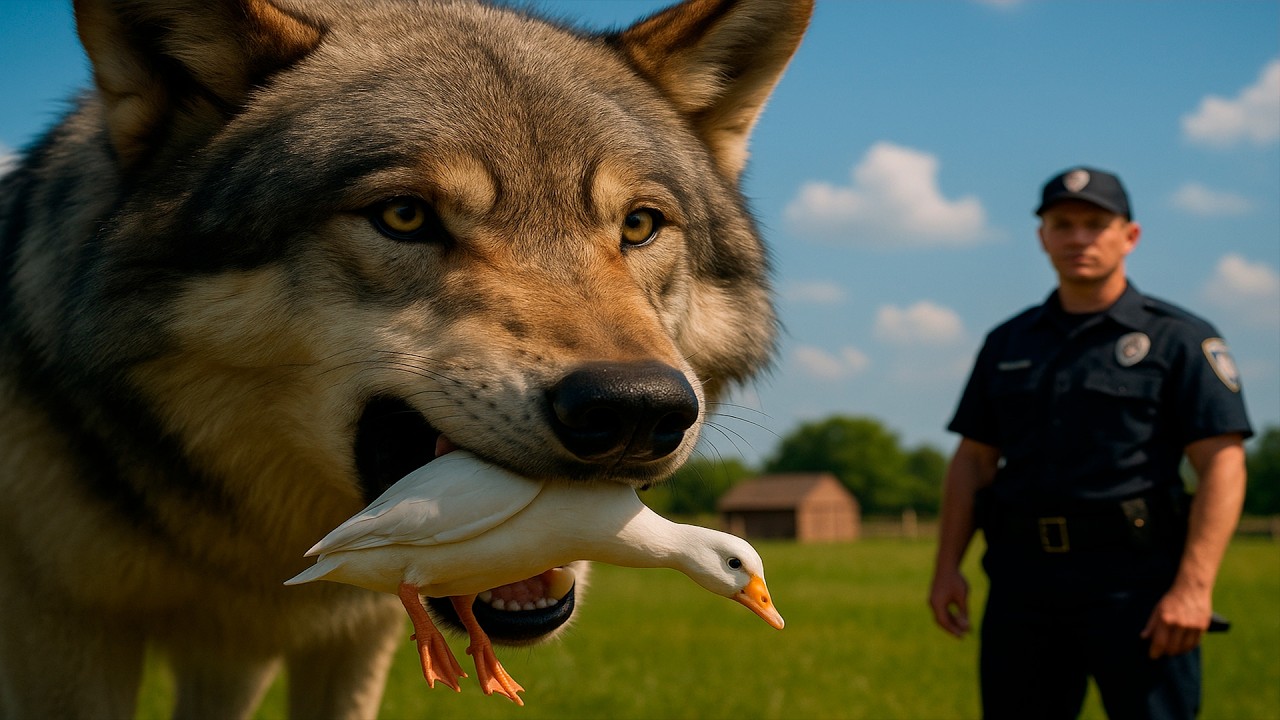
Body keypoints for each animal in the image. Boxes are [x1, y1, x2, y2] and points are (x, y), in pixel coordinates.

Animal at [0, 0, 811, 716]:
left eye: (640, 225)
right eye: (404, 215)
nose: (636, 409)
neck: (246, 547)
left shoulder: (350, 643)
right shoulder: (65, 636)